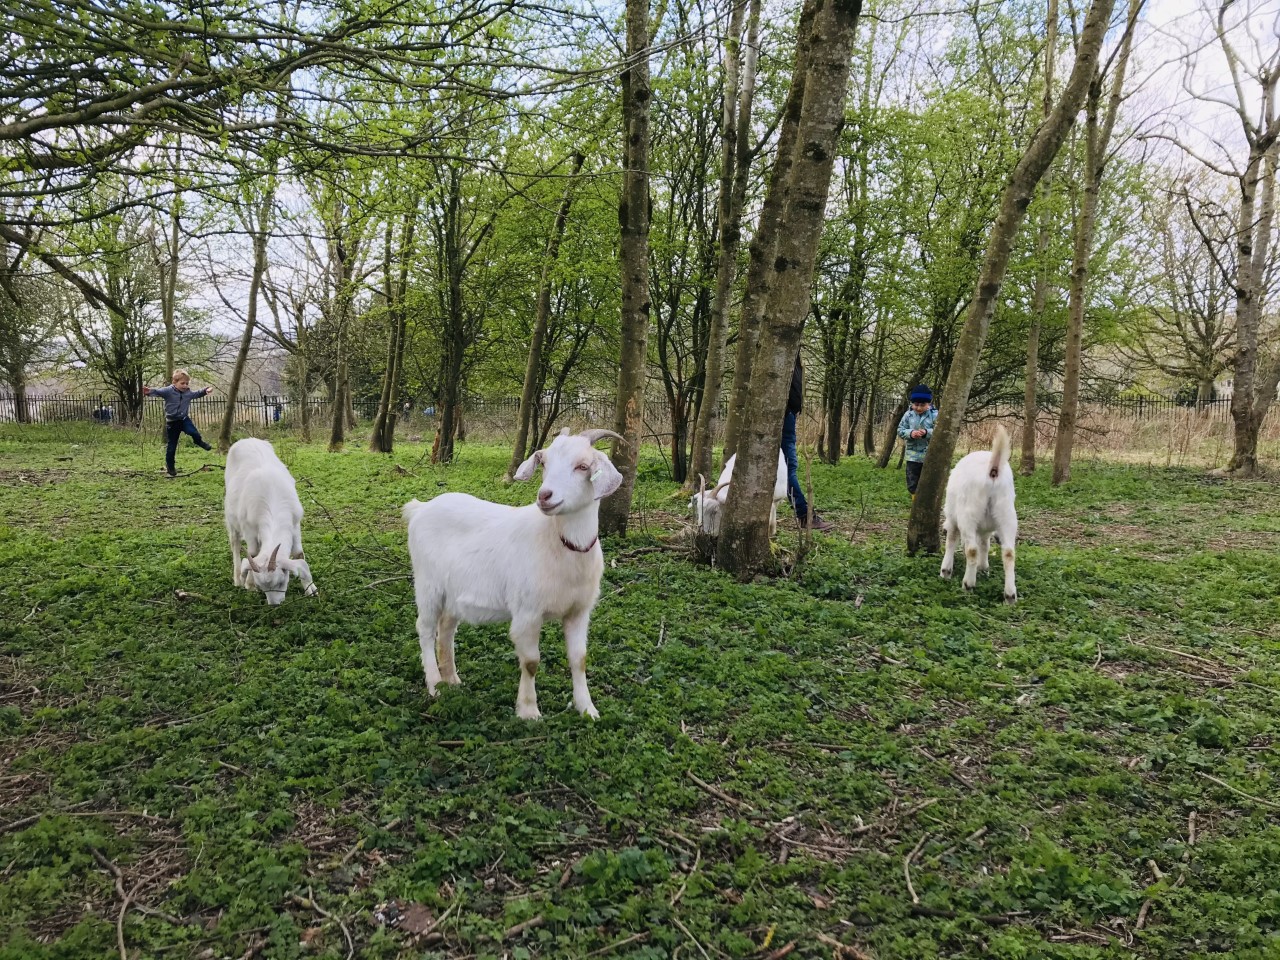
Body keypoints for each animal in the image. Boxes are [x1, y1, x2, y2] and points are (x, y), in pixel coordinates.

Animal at [224, 438, 316, 605]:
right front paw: (250, 583)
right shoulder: (249, 529)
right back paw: (237, 578)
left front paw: (310, 589)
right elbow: (252, 554)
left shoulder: (295, 523)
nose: (274, 605)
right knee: (235, 543)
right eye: (263, 587)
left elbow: (298, 554)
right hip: (231, 517)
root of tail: (246, 440)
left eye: (281, 582)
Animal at [402, 428, 623, 719]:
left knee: (446, 627)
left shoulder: (579, 611)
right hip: (427, 584)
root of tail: (420, 508)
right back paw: (434, 684)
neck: (560, 543)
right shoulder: (527, 612)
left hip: (453, 592)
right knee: (426, 628)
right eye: (544, 463)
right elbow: (531, 662)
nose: (545, 496)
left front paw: (587, 708)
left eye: (583, 466)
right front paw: (529, 711)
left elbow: (580, 660)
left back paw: (451, 680)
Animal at [939, 425, 1018, 604]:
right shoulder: (986, 528)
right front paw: (984, 568)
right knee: (1009, 553)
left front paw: (945, 571)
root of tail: (993, 469)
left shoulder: (953, 519)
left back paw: (968, 584)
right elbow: (985, 544)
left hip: (968, 513)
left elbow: (951, 540)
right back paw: (1010, 595)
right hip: (1007, 514)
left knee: (971, 549)